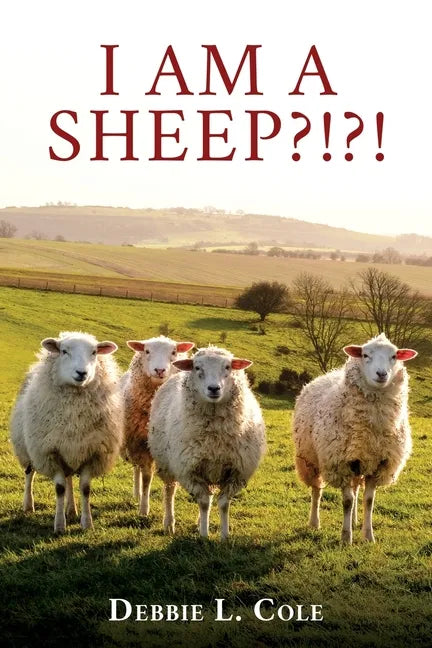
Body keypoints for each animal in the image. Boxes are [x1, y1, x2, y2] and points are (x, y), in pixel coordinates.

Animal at [10, 331, 123, 533]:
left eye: (94, 352)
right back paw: (28, 505)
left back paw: (71, 509)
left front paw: (87, 523)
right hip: (28, 449)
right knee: (29, 474)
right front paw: (59, 525)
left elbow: (85, 488)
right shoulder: (50, 453)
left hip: (71, 452)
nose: (82, 373)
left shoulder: (91, 453)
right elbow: (60, 488)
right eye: (64, 351)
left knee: (70, 478)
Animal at [121, 336, 194, 516]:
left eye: (174, 352)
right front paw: (144, 508)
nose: (159, 370)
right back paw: (137, 493)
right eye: (147, 351)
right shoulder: (140, 444)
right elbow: (147, 477)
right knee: (137, 468)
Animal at [148, 345, 266, 539]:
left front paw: (224, 536)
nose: (214, 388)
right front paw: (204, 535)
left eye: (228, 367)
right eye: (197, 367)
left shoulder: (236, 473)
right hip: (167, 464)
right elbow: (203, 503)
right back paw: (169, 523)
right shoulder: (190, 470)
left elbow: (223, 503)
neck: (214, 438)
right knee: (170, 491)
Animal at [292, 333, 417, 544]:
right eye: (365, 355)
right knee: (317, 491)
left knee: (356, 488)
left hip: (359, 462)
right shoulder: (341, 463)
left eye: (394, 356)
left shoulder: (378, 463)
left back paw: (355, 520)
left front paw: (368, 536)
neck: (372, 430)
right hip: (311, 459)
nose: (381, 374)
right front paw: (346, 538)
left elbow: (368, 501)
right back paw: (314, 522)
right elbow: (347, 501)